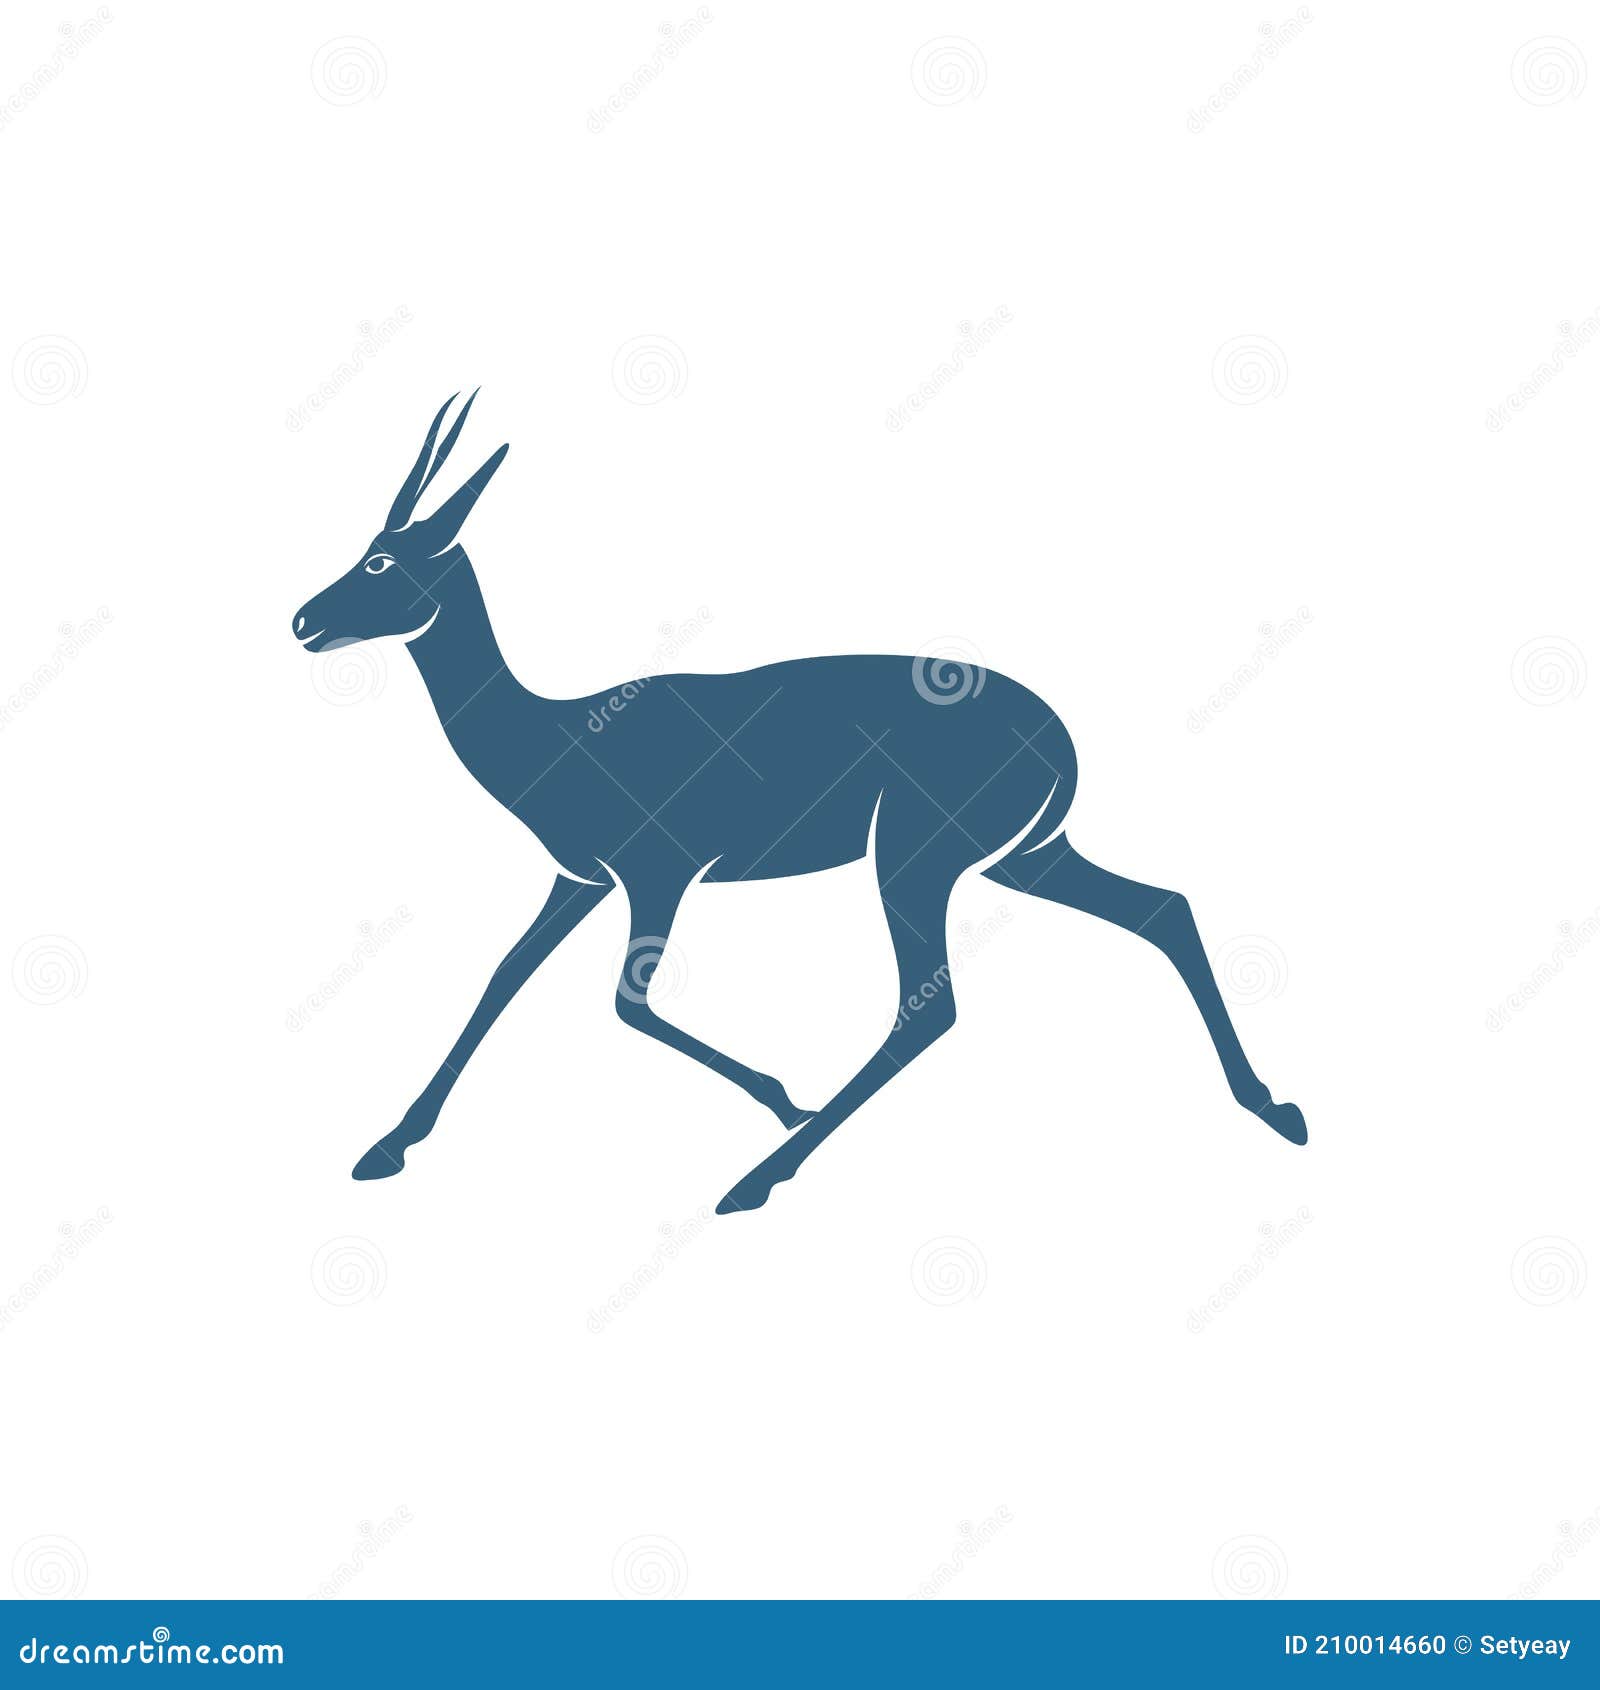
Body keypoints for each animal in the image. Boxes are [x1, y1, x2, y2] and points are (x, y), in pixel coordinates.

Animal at [292, 394, 1306, 1214]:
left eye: (381, 562)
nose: (303, 620)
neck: (561, 733)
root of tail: (1057, 732)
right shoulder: (580, 879)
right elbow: (501, 977)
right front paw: (383, 1149)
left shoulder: (659, 873)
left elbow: (626, 1003)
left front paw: (784, 1099)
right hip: (1021, 856)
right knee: (1161, 908)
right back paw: (1277, 1109)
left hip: (915, 857)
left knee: (927, 1008)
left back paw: (754, 1181)